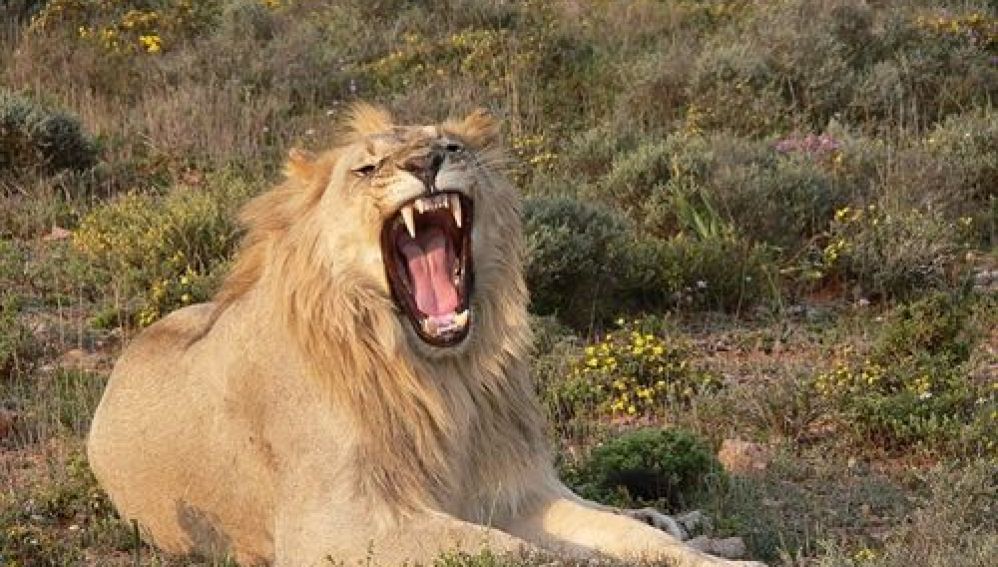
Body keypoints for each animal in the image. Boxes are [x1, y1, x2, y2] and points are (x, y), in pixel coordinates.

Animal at [87, 104, 763, 567]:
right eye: (366, 167)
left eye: (451, 145)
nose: (426, 163)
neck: (444, 378)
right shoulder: (337, 528)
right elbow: (521, 553)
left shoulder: (515, 494)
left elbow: (625, 536)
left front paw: (708, 552)